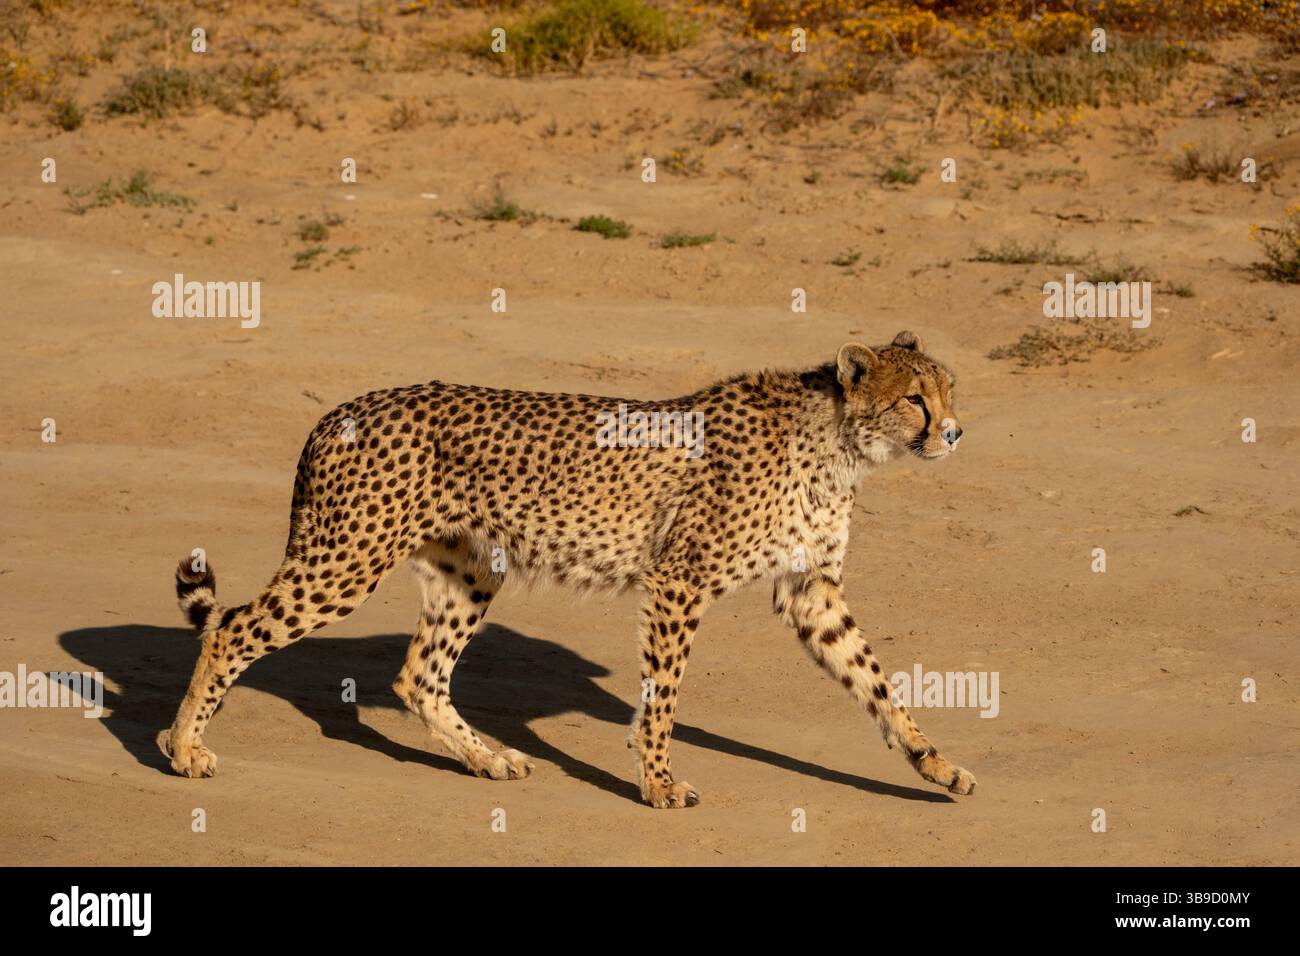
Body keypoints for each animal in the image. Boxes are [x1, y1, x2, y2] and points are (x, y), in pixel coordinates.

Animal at [159, 330, 976, 808]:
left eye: (947, 389)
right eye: (915, 399)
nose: (955, 432)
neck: (838, 440)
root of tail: (339, 411)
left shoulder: (811, 591)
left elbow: (876, 681)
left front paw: (932, 763)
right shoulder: (679, 581)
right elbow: (663, 695)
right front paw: (657, 782)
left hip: (470, 570)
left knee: (419, 676)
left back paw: (488, 761)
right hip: (347, 559)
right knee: (231, 630)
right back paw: (185, 747)